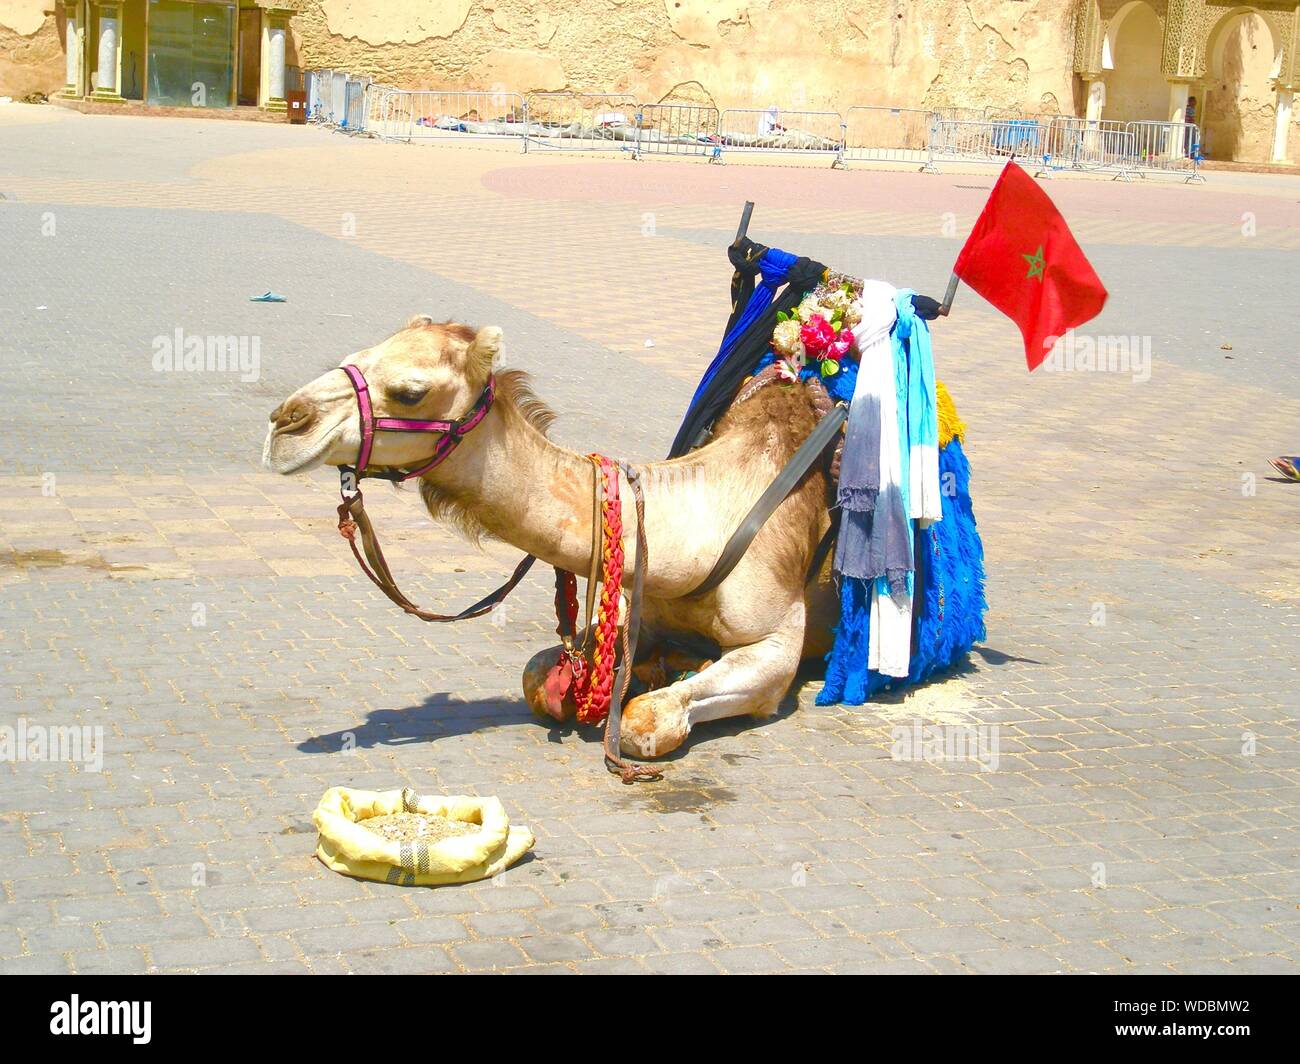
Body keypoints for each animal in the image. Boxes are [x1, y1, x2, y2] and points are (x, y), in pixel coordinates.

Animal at [264, 316, 840, 759]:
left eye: (411, 392)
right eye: (355, 355)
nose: (285, 423)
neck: (702, 525)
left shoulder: (774, 645)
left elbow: (643, 721)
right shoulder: (640, 604)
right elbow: (539, 675)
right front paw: (646, 666)